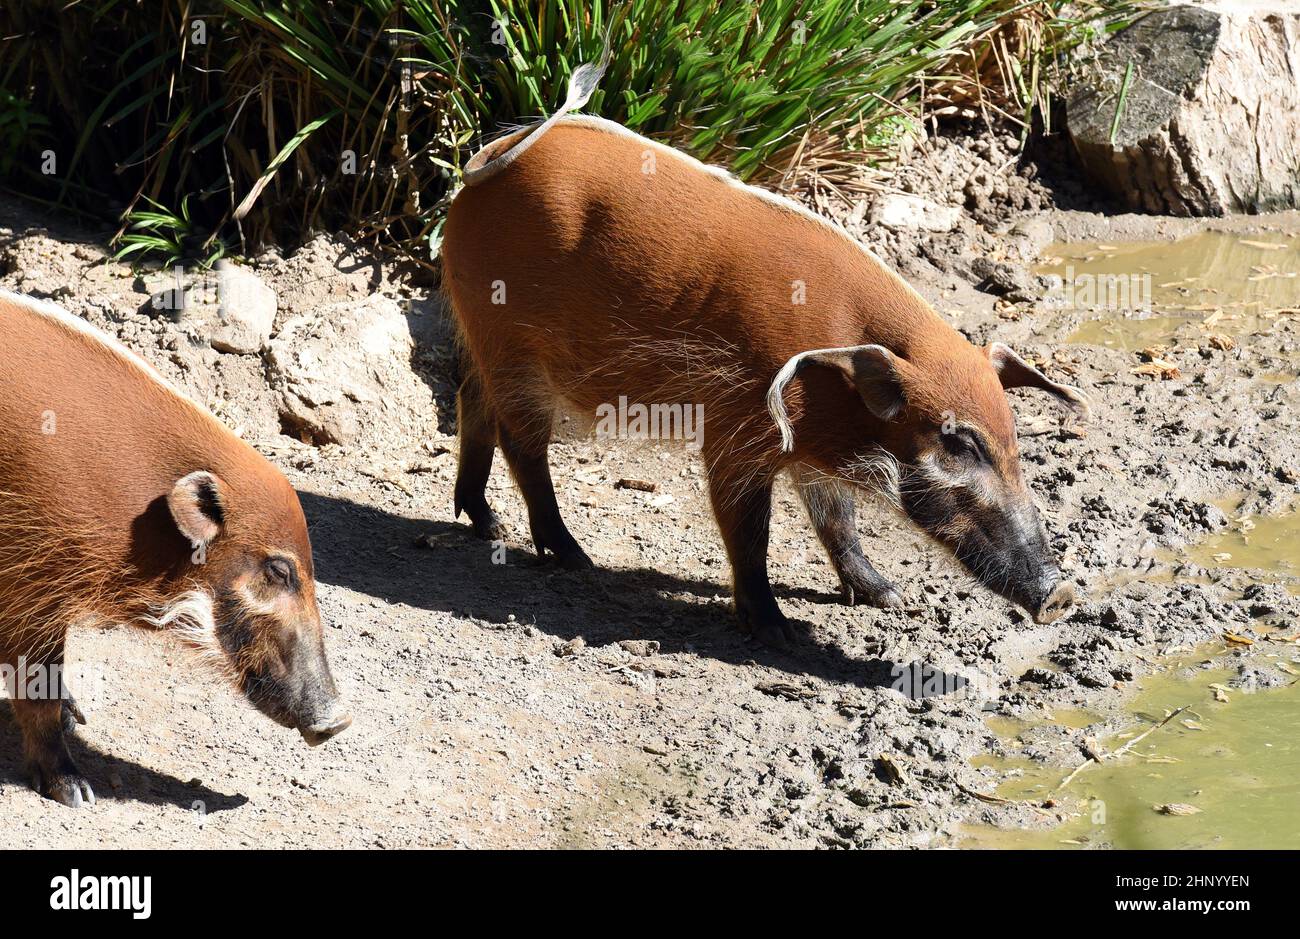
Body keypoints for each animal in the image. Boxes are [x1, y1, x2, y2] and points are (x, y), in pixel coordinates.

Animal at [440, 68, 1090, 650]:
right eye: (957, 443)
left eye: (1013, 438)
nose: (1061, 595)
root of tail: (483, 163)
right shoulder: (738, 428)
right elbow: (750, 532)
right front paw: (778, 632)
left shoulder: (813, 449)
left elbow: (837, 517)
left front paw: (888, 595)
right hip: (511, 345)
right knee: (521, 442)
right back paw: (574, 556)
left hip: (486, 340)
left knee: (471, 400)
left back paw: (485, 520)